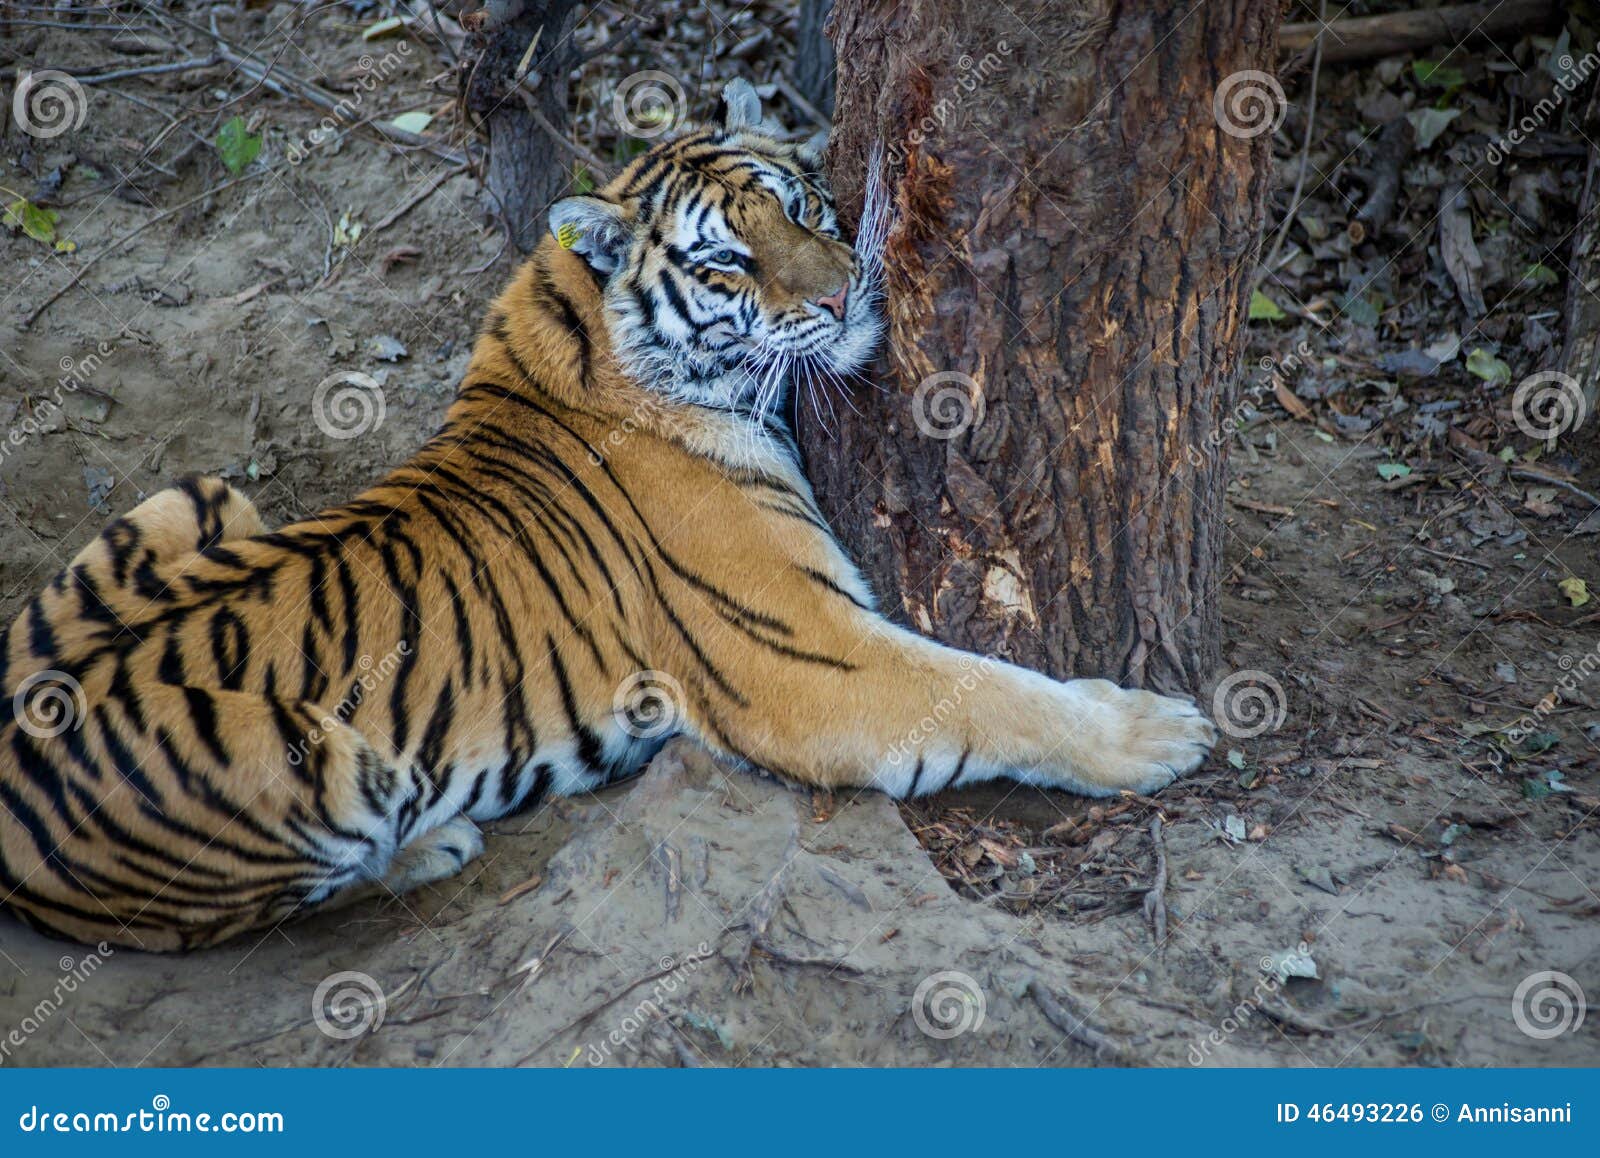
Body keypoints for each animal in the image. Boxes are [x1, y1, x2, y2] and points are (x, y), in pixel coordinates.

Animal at [0, 81, 1216, 951]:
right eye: (729, 258)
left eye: (806, 207)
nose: (845, 294)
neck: (589, 330)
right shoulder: (807, 659)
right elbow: (990, 691)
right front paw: (1157, 732)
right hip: (322, 759)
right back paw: (433, 847)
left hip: (198, 495)